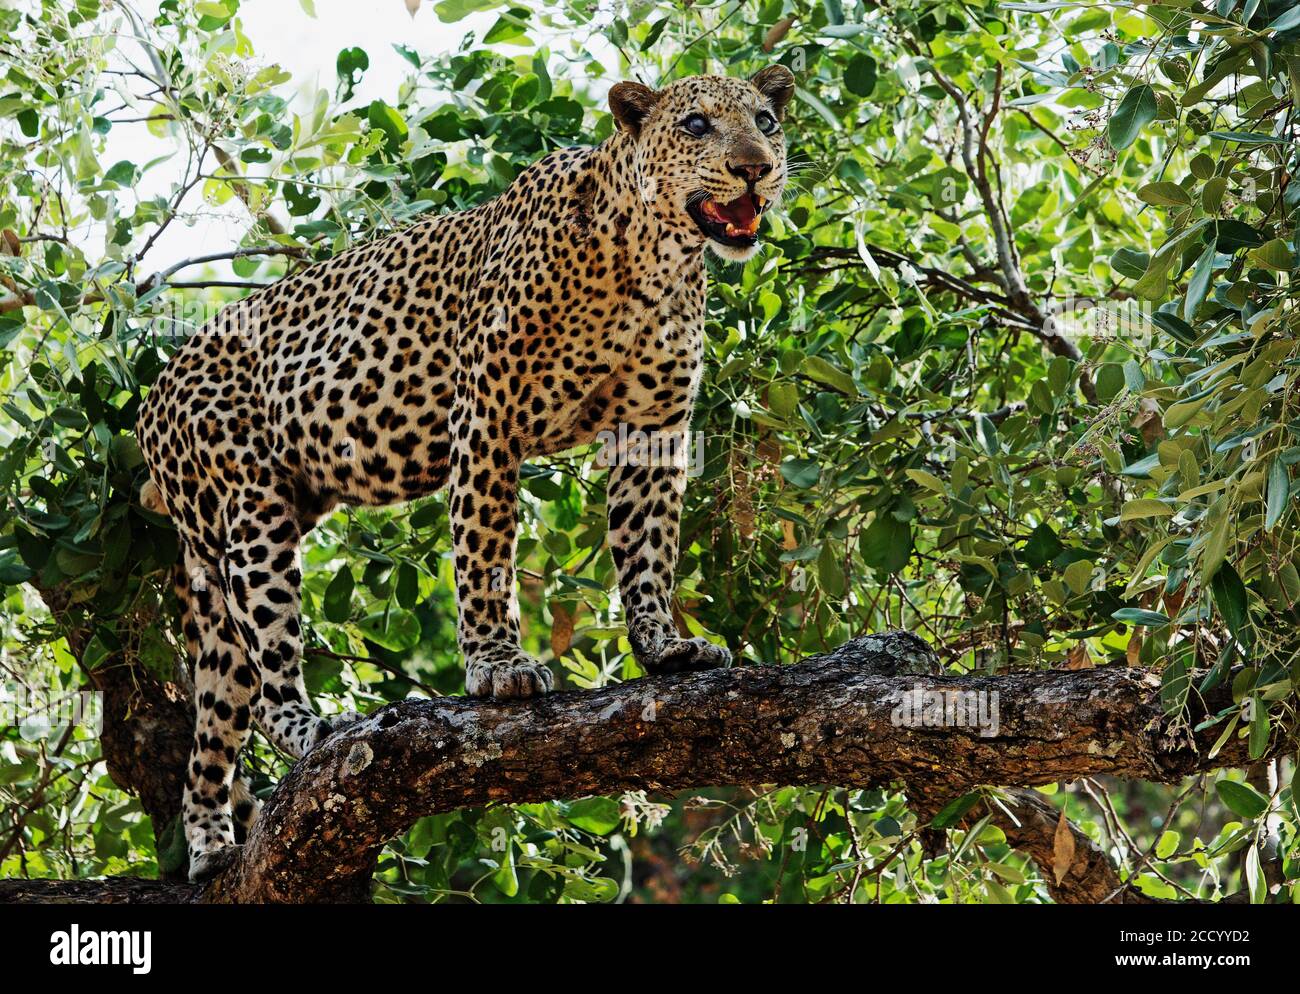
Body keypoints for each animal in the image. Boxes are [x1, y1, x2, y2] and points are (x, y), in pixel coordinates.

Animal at [135, 66, 795, 881]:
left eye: (766, 121)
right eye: (697, 124)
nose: (755, 168)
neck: (651, 261)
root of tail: (153, 396)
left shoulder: (652, 431)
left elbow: (647, 553)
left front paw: (665, 648)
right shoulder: (487, 419)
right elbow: (484, 558)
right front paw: (497, 667)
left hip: (216, 555)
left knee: (217, 706)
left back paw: (209, 845)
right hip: (251, 510)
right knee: (266, 671)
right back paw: (319, 731)